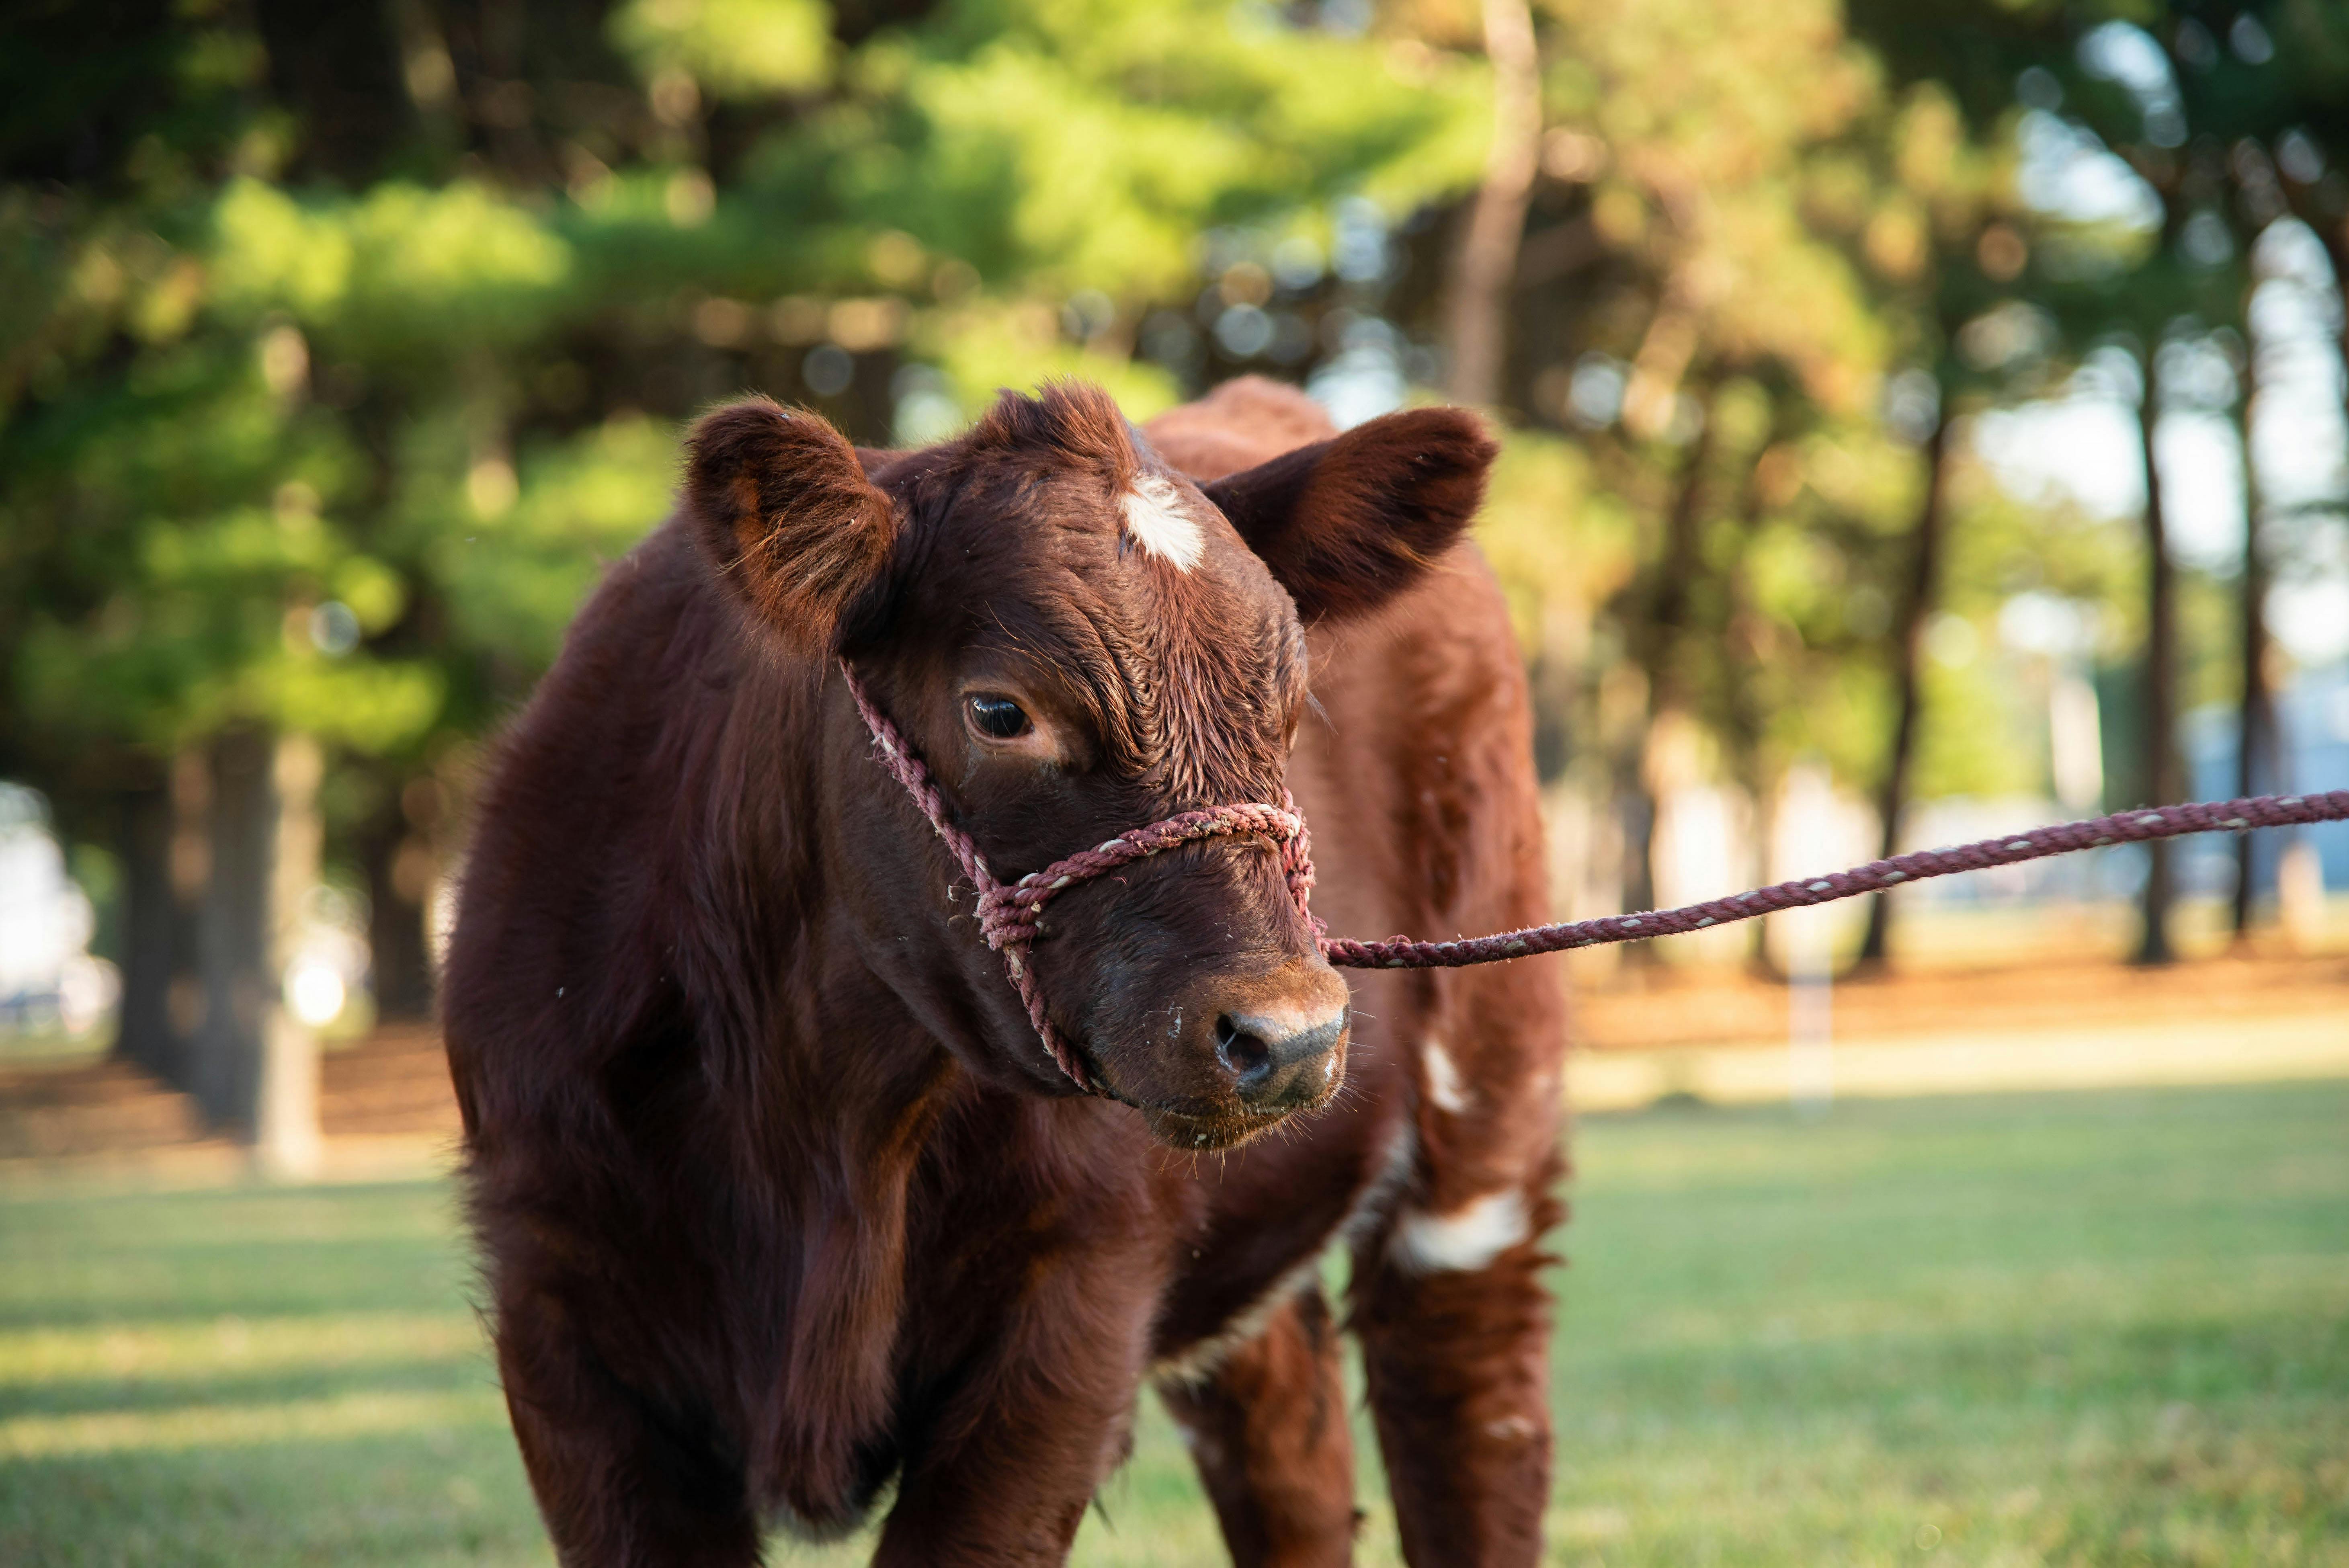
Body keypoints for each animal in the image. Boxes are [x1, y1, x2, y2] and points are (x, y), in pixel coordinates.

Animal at [442, 374, 1567, 1567]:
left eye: (1291, 705)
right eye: (998, 710)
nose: (1290, 1035)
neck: (818, 1118)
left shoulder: (1074, 1306)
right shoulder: (558, 1305)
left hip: (1483, 1130)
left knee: (1465, 1413)